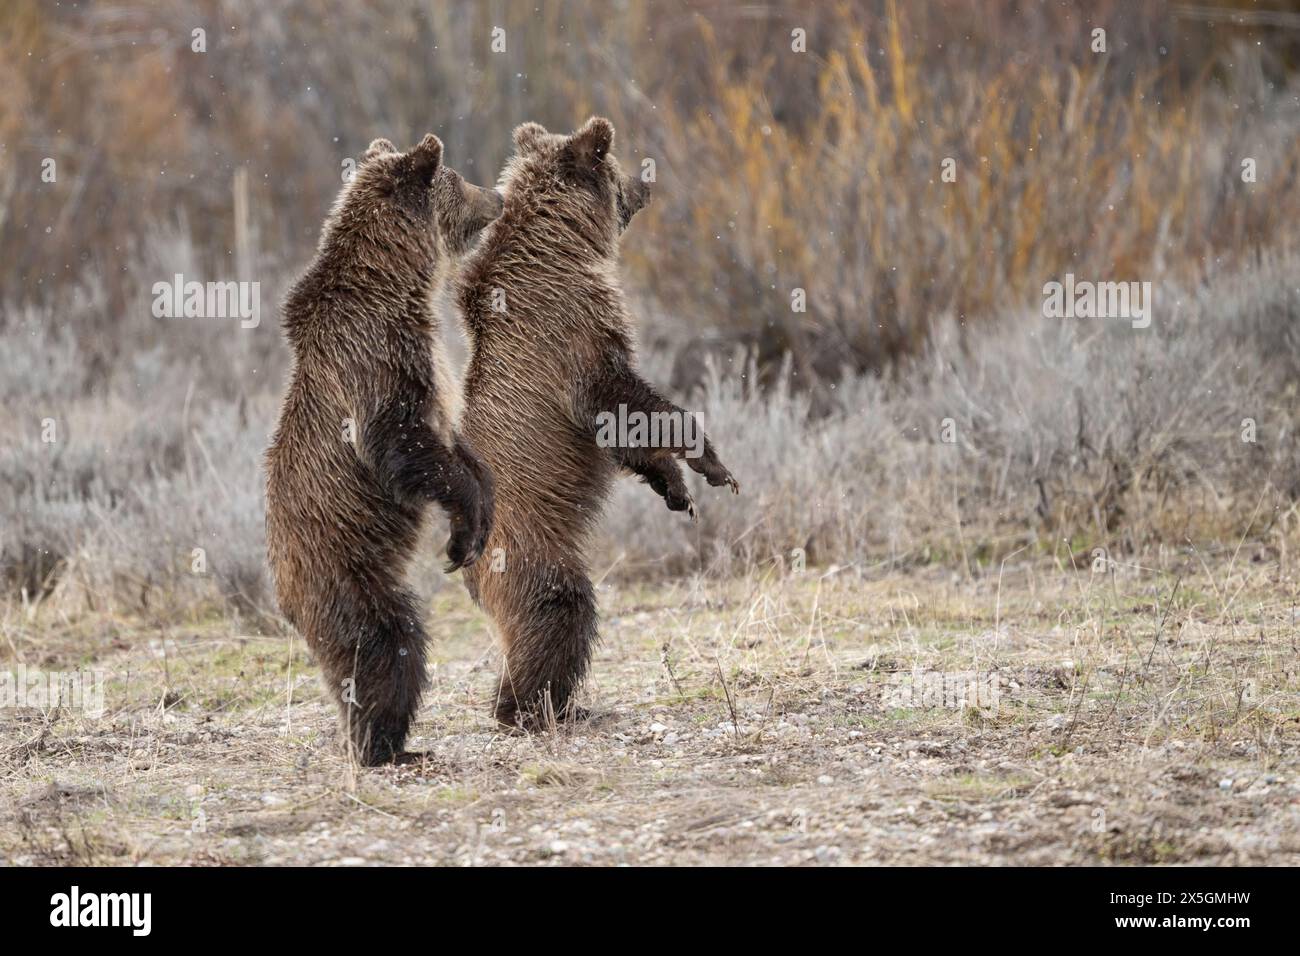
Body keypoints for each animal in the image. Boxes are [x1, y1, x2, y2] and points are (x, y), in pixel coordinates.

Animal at [265, 133, 502, 765]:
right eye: (458, 178)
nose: (496, 196)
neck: (397, 283)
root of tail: (283, 594)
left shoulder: (431, 366)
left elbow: (459, 451)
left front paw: (480, 522)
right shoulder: (376, 360)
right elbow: (400, 449)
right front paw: (461, 535)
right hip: (347, 572)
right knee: (385, 644)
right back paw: (383, 743)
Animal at [457, 117, 740, 730]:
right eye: (617, 167)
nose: (648, 184)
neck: (560, 245)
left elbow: (623, 435)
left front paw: (676, 490)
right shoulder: (574, 335)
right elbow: (626, 401)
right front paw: (712, 464)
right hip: (529, 547)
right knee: (560, 609)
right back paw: (536, 707)